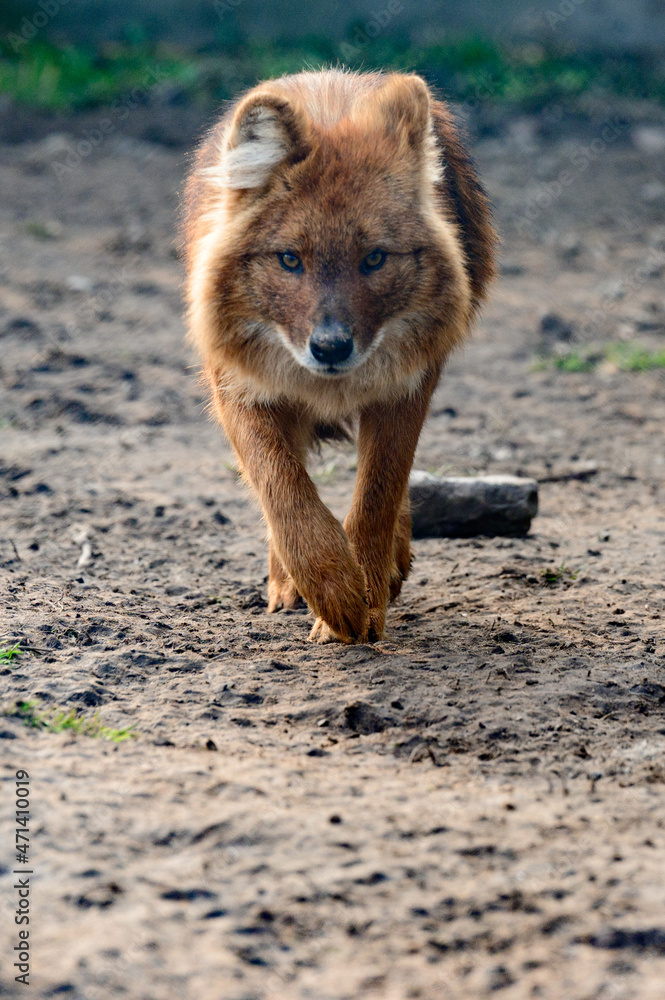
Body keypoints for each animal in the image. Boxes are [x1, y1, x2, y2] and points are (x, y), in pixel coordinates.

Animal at [184, 68, 497, 643]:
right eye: (290, 260)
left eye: (374, 258)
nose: (331, 346)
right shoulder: (237, 384)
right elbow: (282, 488)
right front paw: (330, 590)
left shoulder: (407, 383)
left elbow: (379, 492)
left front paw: (365, 599)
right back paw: (288, 586)